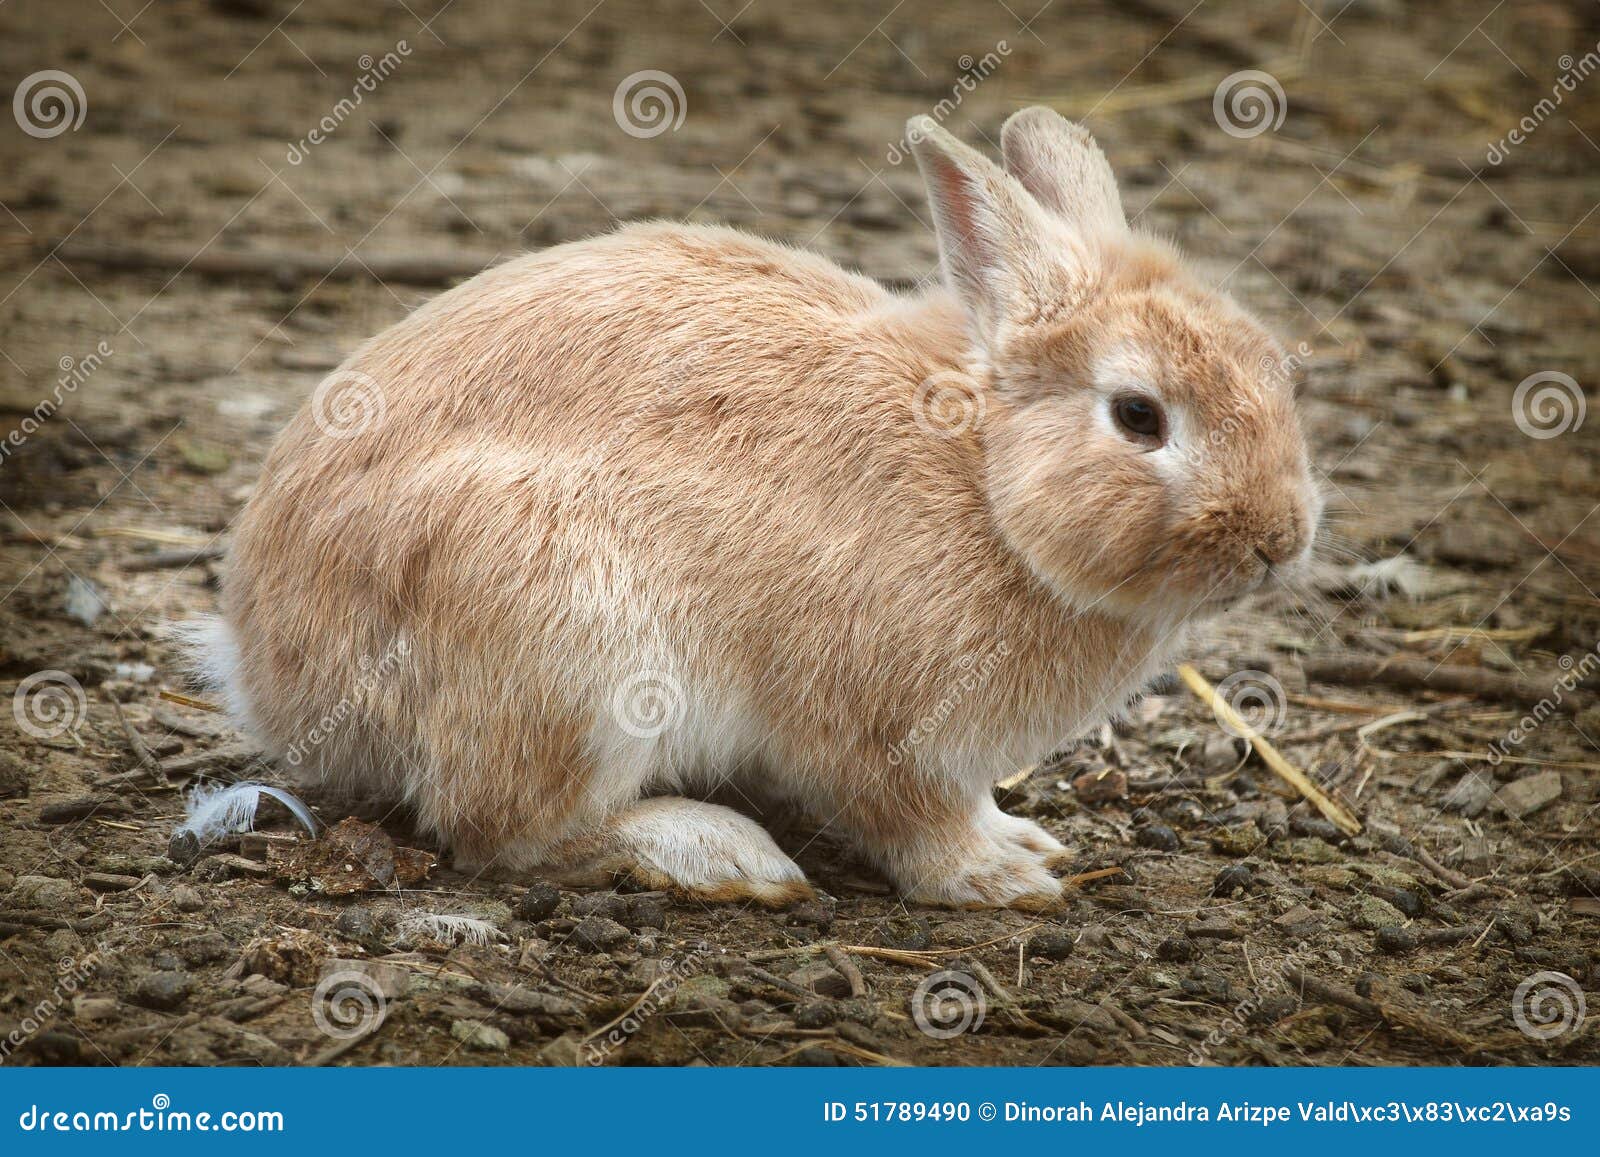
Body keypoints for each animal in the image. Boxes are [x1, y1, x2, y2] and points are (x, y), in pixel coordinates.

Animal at [182, 108, 1320, 910]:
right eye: (1138, 415)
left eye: (1277, 369)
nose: (1280, 540)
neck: (985, 481)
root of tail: (269, 667)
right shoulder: (878, 729)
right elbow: (912, 818)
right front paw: (997, 879)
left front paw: (1023, 840)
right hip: (573, 648)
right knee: (501, 829)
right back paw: (722, 854)